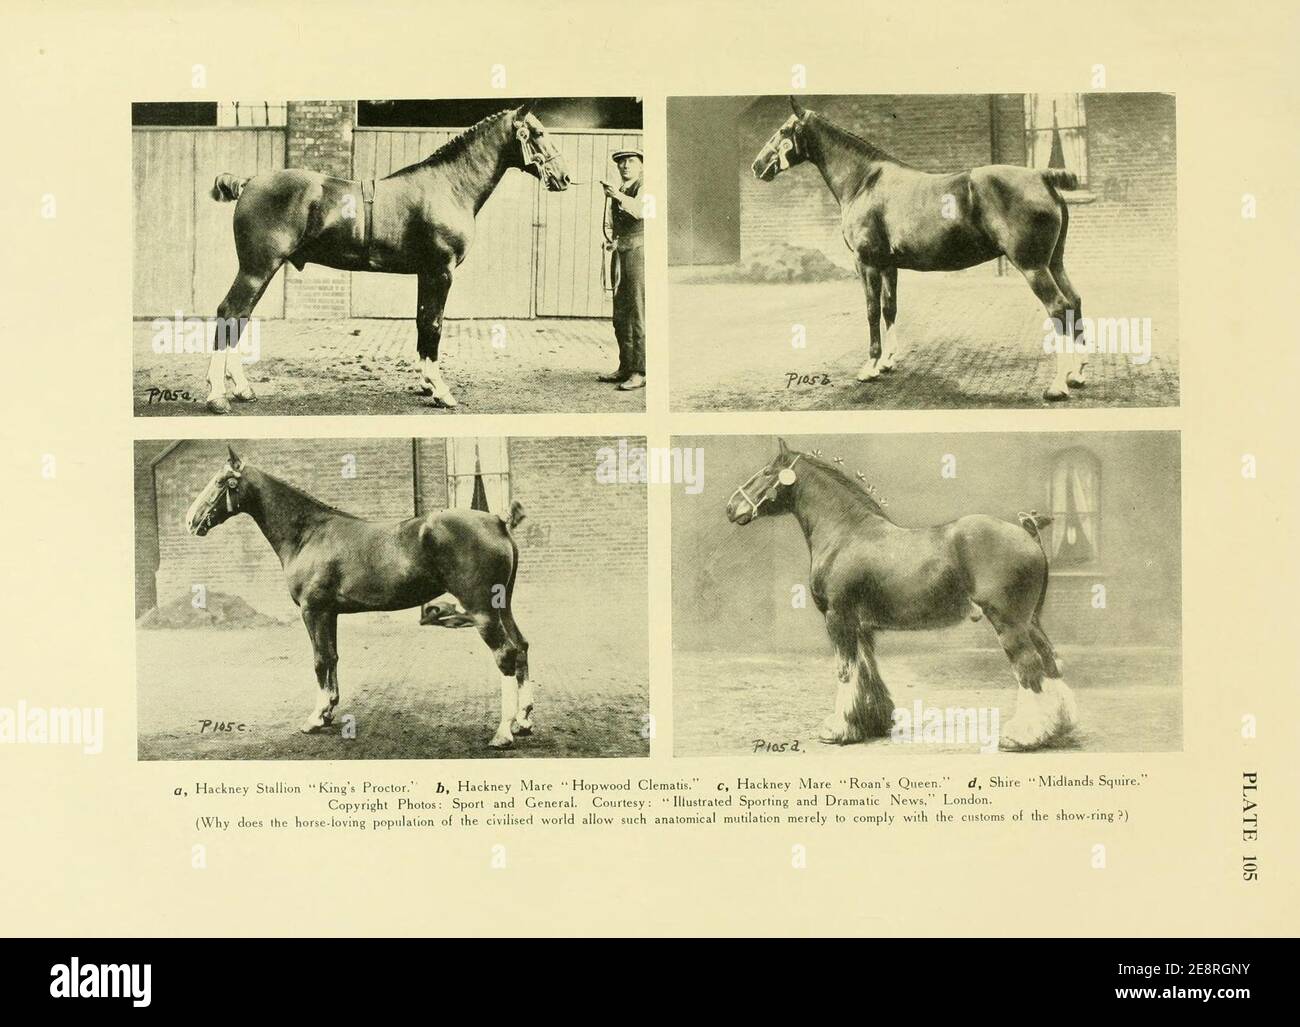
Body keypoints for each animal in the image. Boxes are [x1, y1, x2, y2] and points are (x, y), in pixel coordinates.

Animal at [185, 447, 533, 748]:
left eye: (221, 482)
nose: (190, 520)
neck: (308, 534)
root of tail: (497, 521)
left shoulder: (312, 611)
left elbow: (319, 659)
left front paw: (314, 718)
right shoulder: (329, 613)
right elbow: (333, 657)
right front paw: (328, 712)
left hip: (481, 610)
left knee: (505, 654)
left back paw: (503, 733)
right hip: (503, 607)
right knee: (521, 647)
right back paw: (524, 721)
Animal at [202, 103, 571, 414]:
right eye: (537, 133)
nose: (564, 177)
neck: (449, 187)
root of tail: (249, 182)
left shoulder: (426, 273)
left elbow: (422, 322)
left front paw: (426, 384)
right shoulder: (441, 271)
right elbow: (434, 324)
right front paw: (441, 391)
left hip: (261, 270)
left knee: (239, 317)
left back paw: (242, 390)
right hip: (256, 268)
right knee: (229, 312)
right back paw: (218, 396)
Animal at [724, 439, 1077, 751]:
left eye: (767, 472)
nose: (731, 508)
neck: (845, 533)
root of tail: (1028, 531)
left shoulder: (838, 618)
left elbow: (845, 671)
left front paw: (838, 729)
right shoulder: (860, 626)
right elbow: (867, 672)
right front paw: (870, 723)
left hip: (1009, 624)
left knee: (1029, 669)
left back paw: (1022, 736)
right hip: (1031, 621)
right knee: (1051, 663)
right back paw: (1056, 728)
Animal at [752, 98, 1088, 402]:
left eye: (784, 130)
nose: (757, 166)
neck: (864, 181)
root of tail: (1041, 176)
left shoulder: (866, 263)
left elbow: (872, 310)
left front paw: (870, 366)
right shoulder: (889, 265)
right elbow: (889, 308)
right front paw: (888, 361)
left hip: (1033, 266)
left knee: (1058, 307)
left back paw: (1058, 386)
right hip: (1054, 263)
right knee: (1074, 300)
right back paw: (1078, 373)